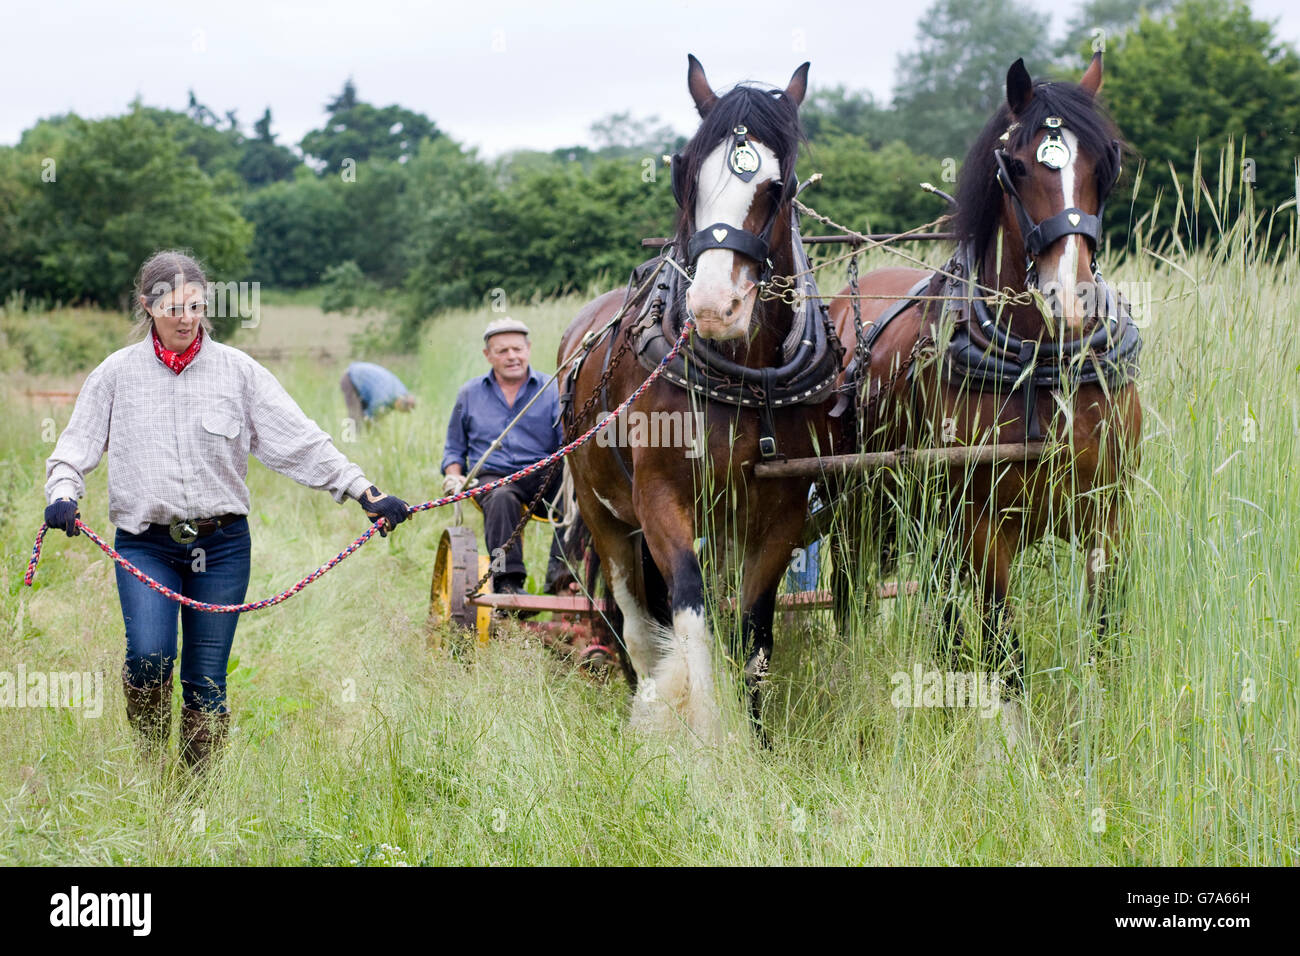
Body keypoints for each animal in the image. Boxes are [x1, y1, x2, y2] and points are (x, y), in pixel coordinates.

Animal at [557, 55, 844, 742]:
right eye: (683, 172)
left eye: (778, 187)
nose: (715, 306)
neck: (742, 380)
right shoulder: (660, 499)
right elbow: (691, 614)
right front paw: (709, 739)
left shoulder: (780, 512)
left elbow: (753, 630)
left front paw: (757, 741)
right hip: (604, 514)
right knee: (637, 624)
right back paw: (643, 705)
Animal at [826, 53, 1143, 745]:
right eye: (1017, 167)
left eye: (1106, 164)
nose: (1071, 299)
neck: (1038, 368)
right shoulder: (980, 527)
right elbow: (1005, 643)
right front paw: (1014, 744)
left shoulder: (1109, 511)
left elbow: (1104, 629)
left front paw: (1099, 725)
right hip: (858, 504)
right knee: (850, 591)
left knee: (939, 605)